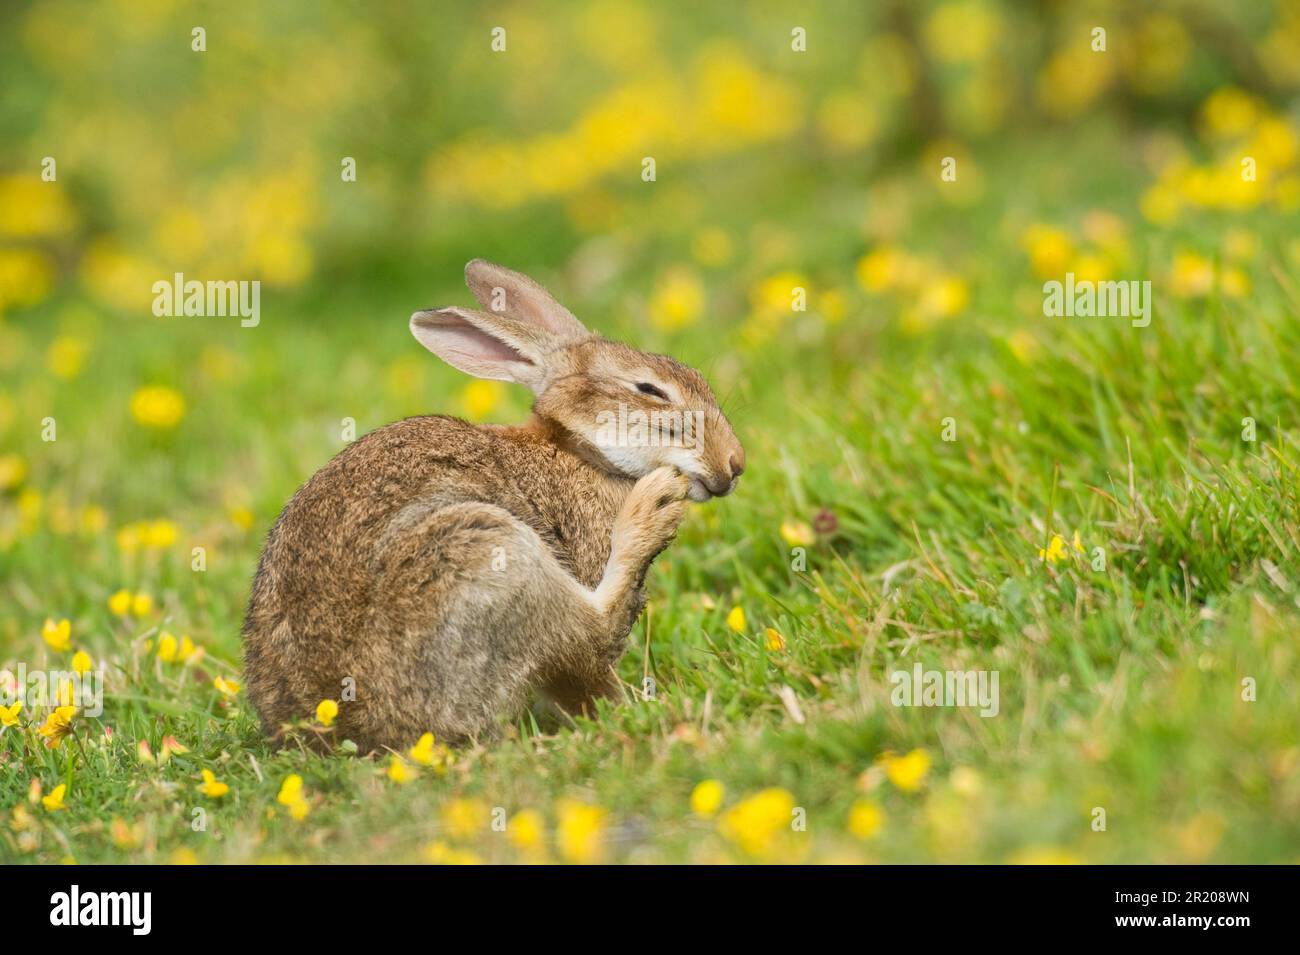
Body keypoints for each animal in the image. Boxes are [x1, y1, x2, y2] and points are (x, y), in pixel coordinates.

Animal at [241, 259, 744, 753]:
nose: (735, 464)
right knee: (586, 630)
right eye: (650, 390)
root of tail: (355, 731)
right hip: (482, 548)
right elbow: (592, 664)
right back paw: (652, 510)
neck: (580, 451)